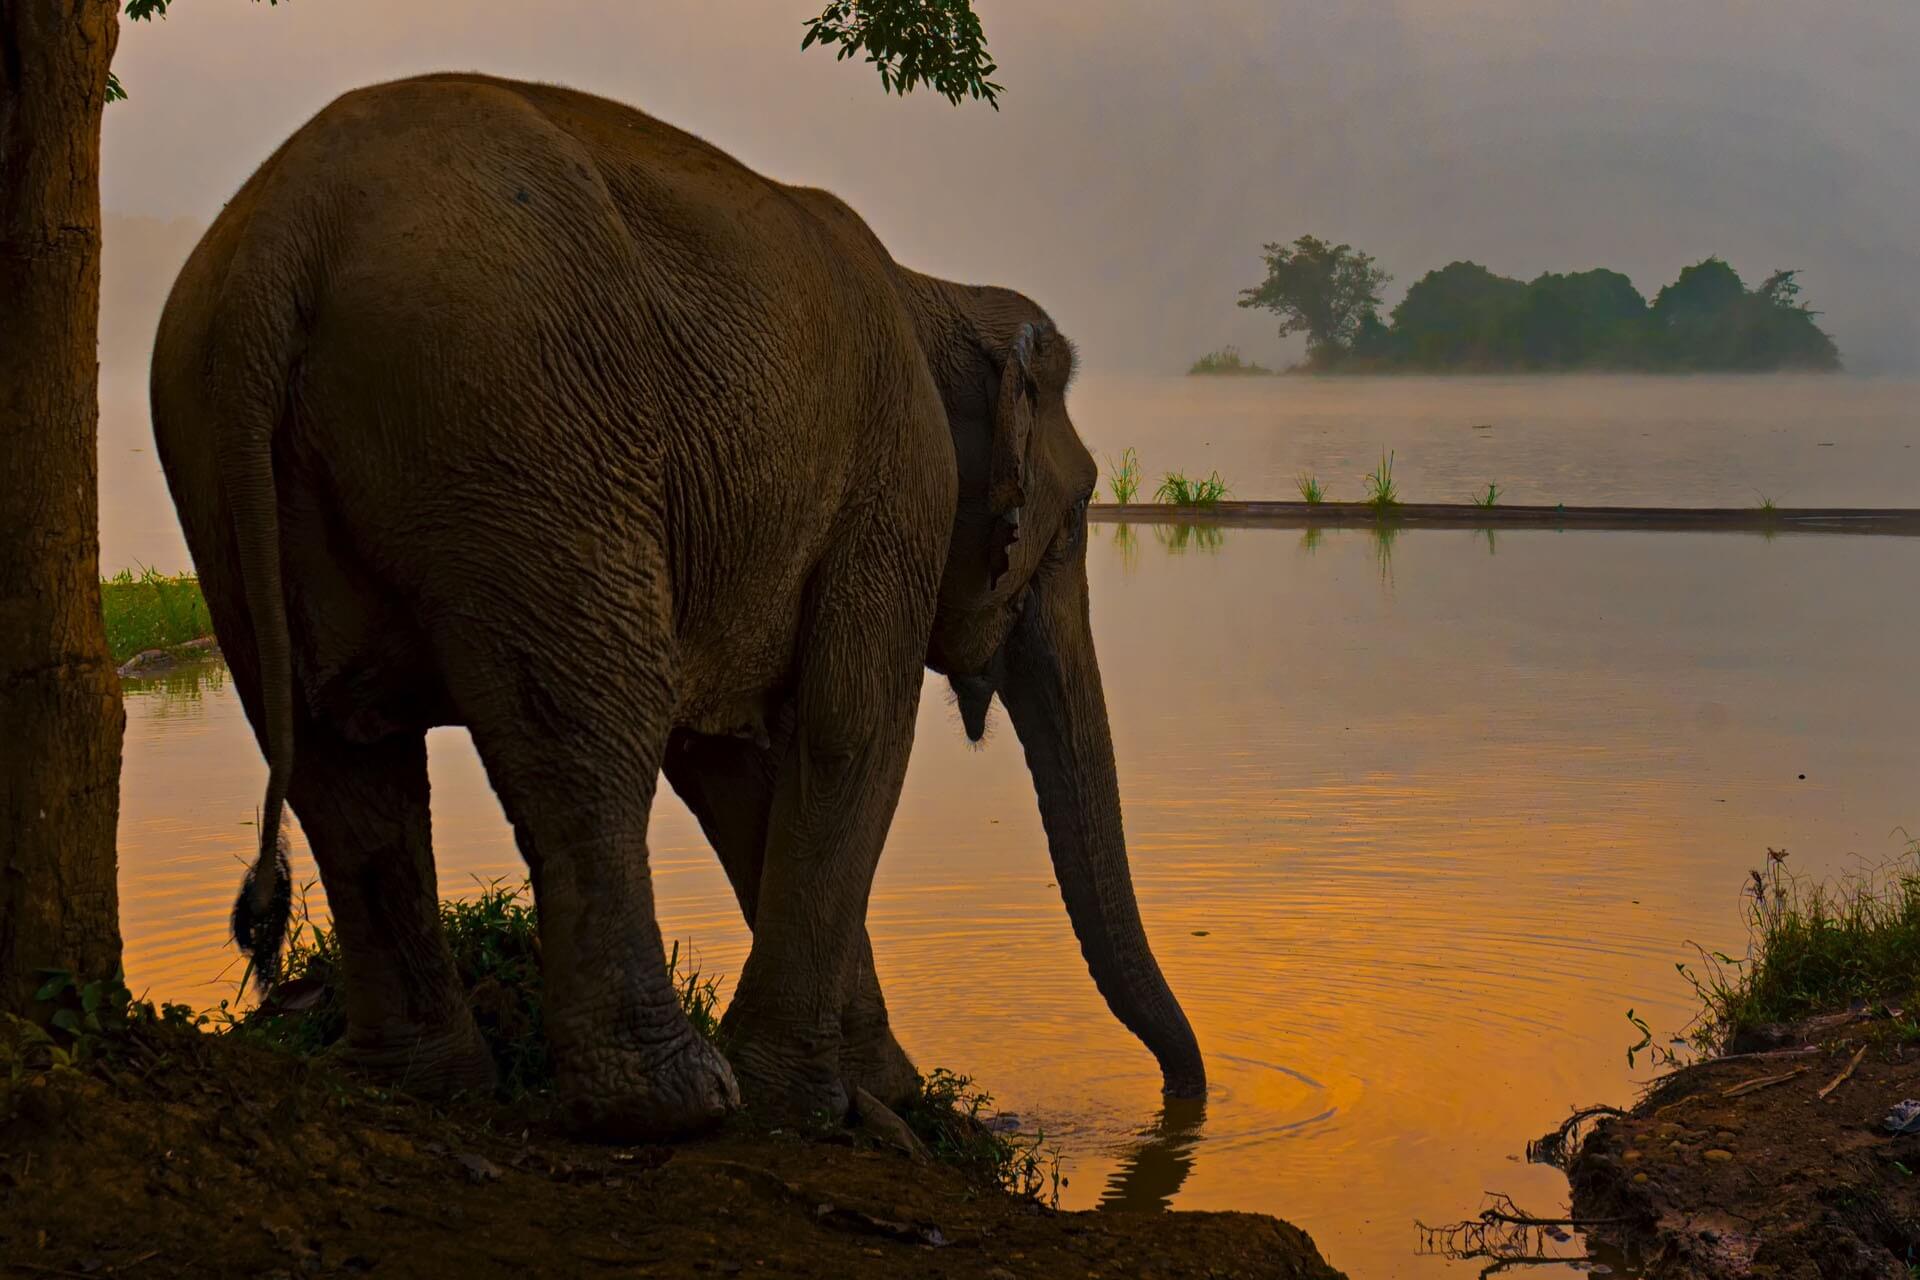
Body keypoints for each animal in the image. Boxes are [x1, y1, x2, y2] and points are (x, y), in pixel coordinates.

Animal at [150, 72, 1204, 1139]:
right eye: (1073, 523)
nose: (1185, 1103)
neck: (933, 288)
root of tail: (285, 235)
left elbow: (734, 764)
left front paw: (885, 1088)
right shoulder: (896, 483)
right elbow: (850, 731)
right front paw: (817, 1104)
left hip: (222, 457)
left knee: (342, 762)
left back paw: (421, 1083)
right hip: (525, 421)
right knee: (590, 729)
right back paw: (678, 1100)